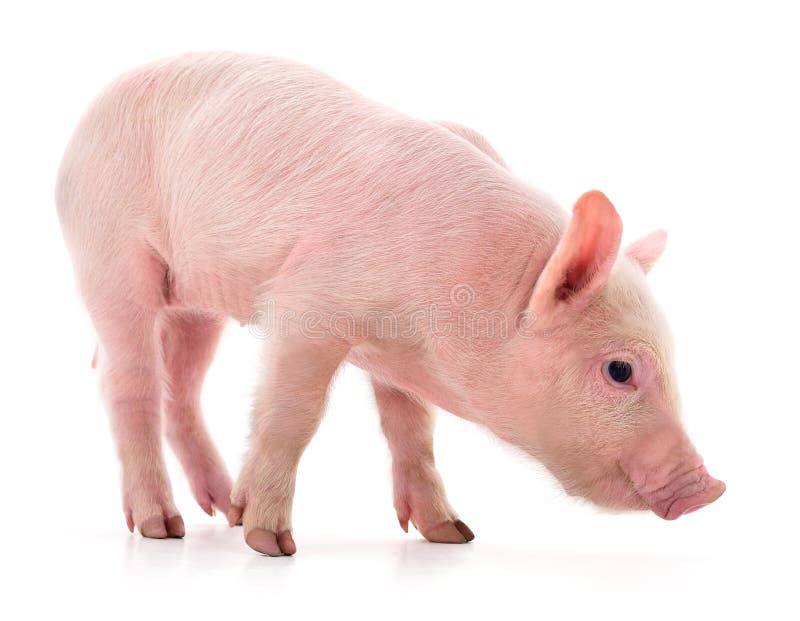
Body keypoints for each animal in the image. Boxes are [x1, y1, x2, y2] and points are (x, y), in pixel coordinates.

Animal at [56, 52, 725, 556]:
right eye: (620, 369)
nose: (710, 489)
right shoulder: (305, 302)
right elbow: (292, 415)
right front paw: (269, 541)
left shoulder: (397, 357)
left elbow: (413, 429)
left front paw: (453, 534)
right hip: (109, 256)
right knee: (130, 383)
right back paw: (162, 527)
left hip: (197, 301)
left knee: (181, 391)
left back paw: (218, 510)